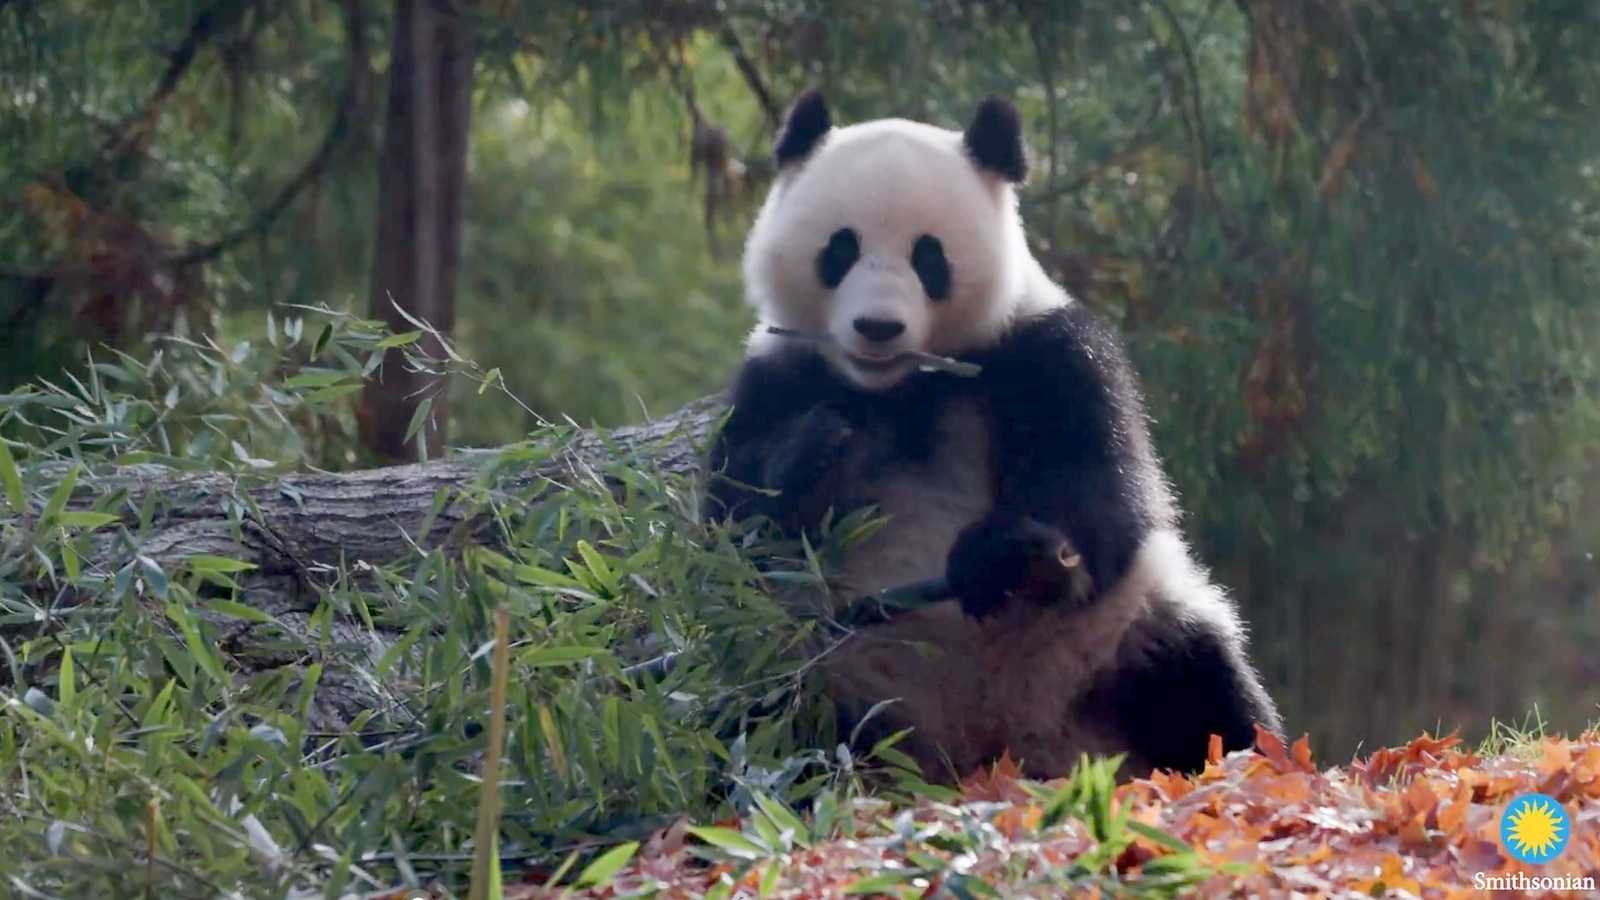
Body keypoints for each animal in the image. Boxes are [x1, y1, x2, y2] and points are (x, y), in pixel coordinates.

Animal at [698, 88, 1284, 785]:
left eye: (929, 257)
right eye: (840, 250)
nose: (878, 327)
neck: (901, 388)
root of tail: (995, 745)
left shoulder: (1045, 353)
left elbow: (1104, 501)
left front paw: (997, 554)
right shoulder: (775, 378)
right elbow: (731, 525)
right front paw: (812, 448)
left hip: (1121, 638)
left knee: (1206, 691)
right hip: (834, 672)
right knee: (763, 725)